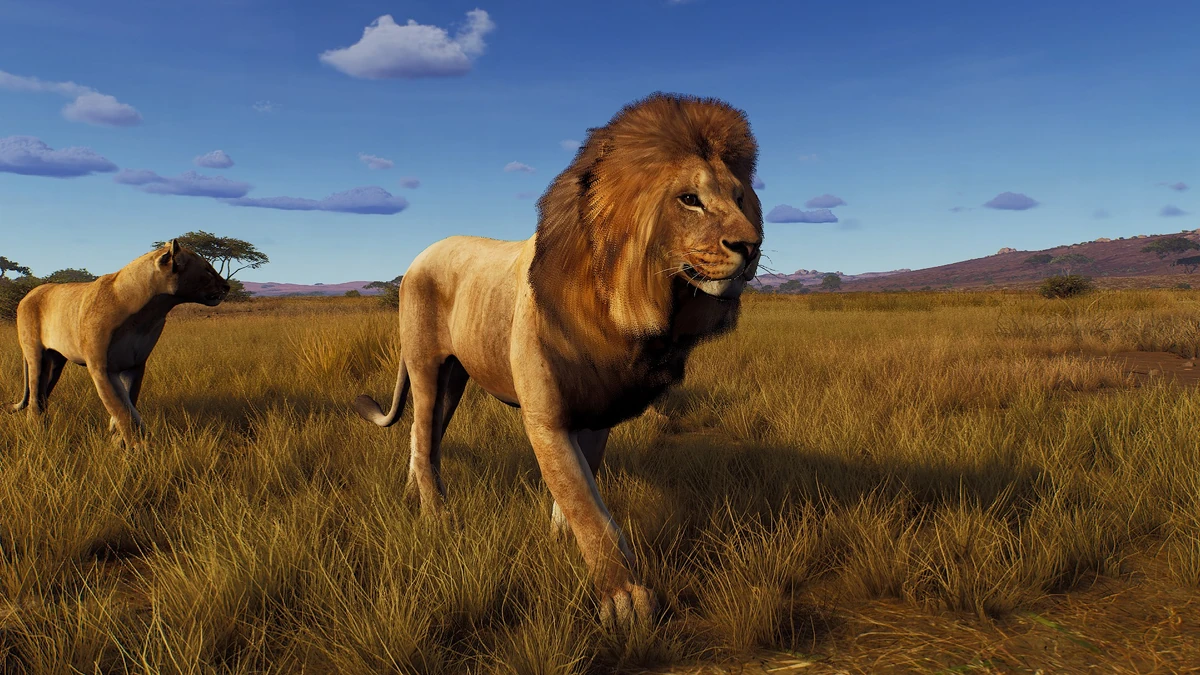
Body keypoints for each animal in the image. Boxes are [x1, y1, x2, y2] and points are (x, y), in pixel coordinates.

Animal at [10, 240, 230, 449]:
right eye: (207, 270)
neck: (150, 311)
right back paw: (37, 428)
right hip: (36, 354)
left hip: (56, 361)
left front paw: (118, 438)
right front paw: (139, 446)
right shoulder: (102, 368)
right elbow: (123, 409)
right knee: (36, 392)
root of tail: (29, 293)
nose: (227, 286)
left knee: (43, 392)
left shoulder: (135, 365)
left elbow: (129, 400)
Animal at [353, 92, 763, 630]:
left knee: (426, 439)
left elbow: (578, 488)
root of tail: (420, 255)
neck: (618, 300)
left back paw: (411, 497)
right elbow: (583, 501)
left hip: (455, 378)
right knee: (422, 437)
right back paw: (437, 515)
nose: (751, 246)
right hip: (425, 365)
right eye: (690, 199)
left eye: (739, 198)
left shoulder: (598, 412)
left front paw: (560, 542)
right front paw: (624, 598)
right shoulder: (545, 417)